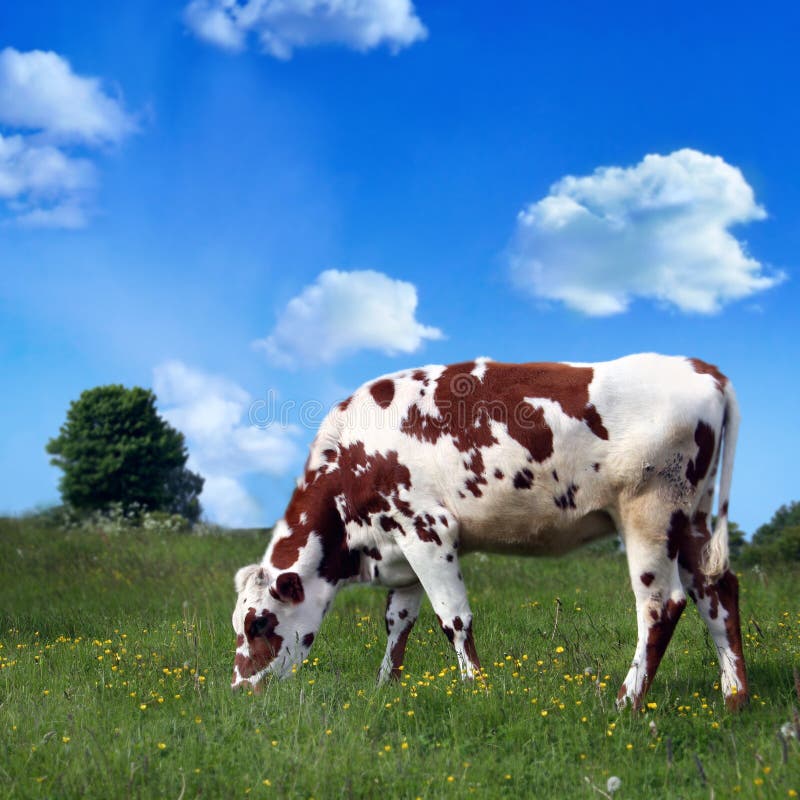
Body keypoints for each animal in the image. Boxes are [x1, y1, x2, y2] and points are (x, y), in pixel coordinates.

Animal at [231, 353, 748, 711]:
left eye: (258, 623)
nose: (239, 691)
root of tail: (703, 369)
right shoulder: (401, 549)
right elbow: (398, 622)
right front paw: (385, 688)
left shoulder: (427, 529)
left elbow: (453, 618)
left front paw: (475, 689)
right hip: (693, 517)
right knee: (716, 589)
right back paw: (735, 697)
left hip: (651, 511)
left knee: (662, 605)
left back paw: (626, 703)